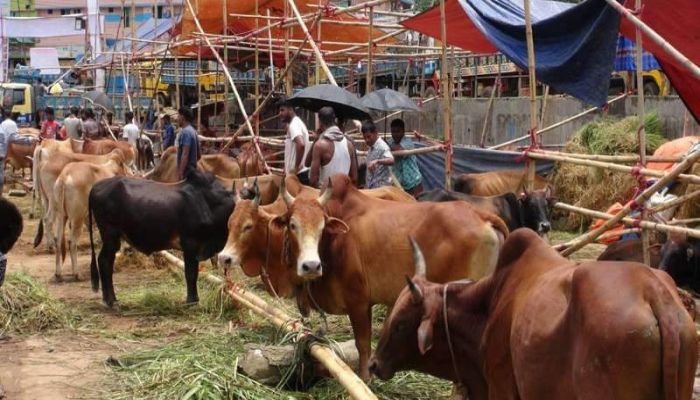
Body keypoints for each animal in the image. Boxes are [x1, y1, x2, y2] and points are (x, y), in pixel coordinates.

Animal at [88, 170, 232, 306]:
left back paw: (109, 299)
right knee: (104, 261)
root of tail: (96, 186)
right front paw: (192, 301)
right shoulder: (190, 244)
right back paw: (111, 301)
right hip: (110, 235)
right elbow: (191, 273)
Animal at [220, 174, 508, 378]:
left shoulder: (358, 301)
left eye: (323, 225)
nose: (311, 266)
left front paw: (364, 380)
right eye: (293, 224)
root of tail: (482, 215)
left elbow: (363, 344)